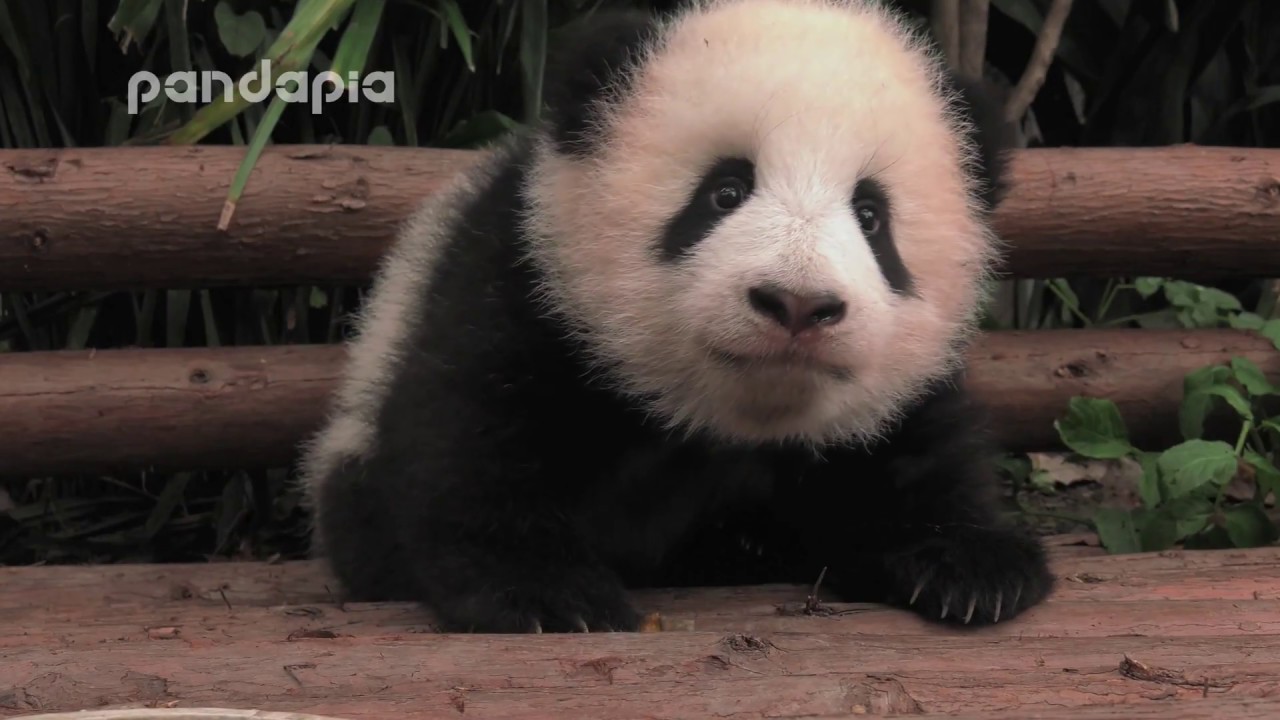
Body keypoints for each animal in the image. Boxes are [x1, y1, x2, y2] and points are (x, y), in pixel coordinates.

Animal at [299, 0, 1055, 634]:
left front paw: (973, 568)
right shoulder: (529, 282)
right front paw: (547, 593)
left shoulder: (898, 393)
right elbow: (471, 429)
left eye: (871, 217)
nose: (797, 303)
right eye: (725, 191)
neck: (731, 421)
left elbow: (914, 458)